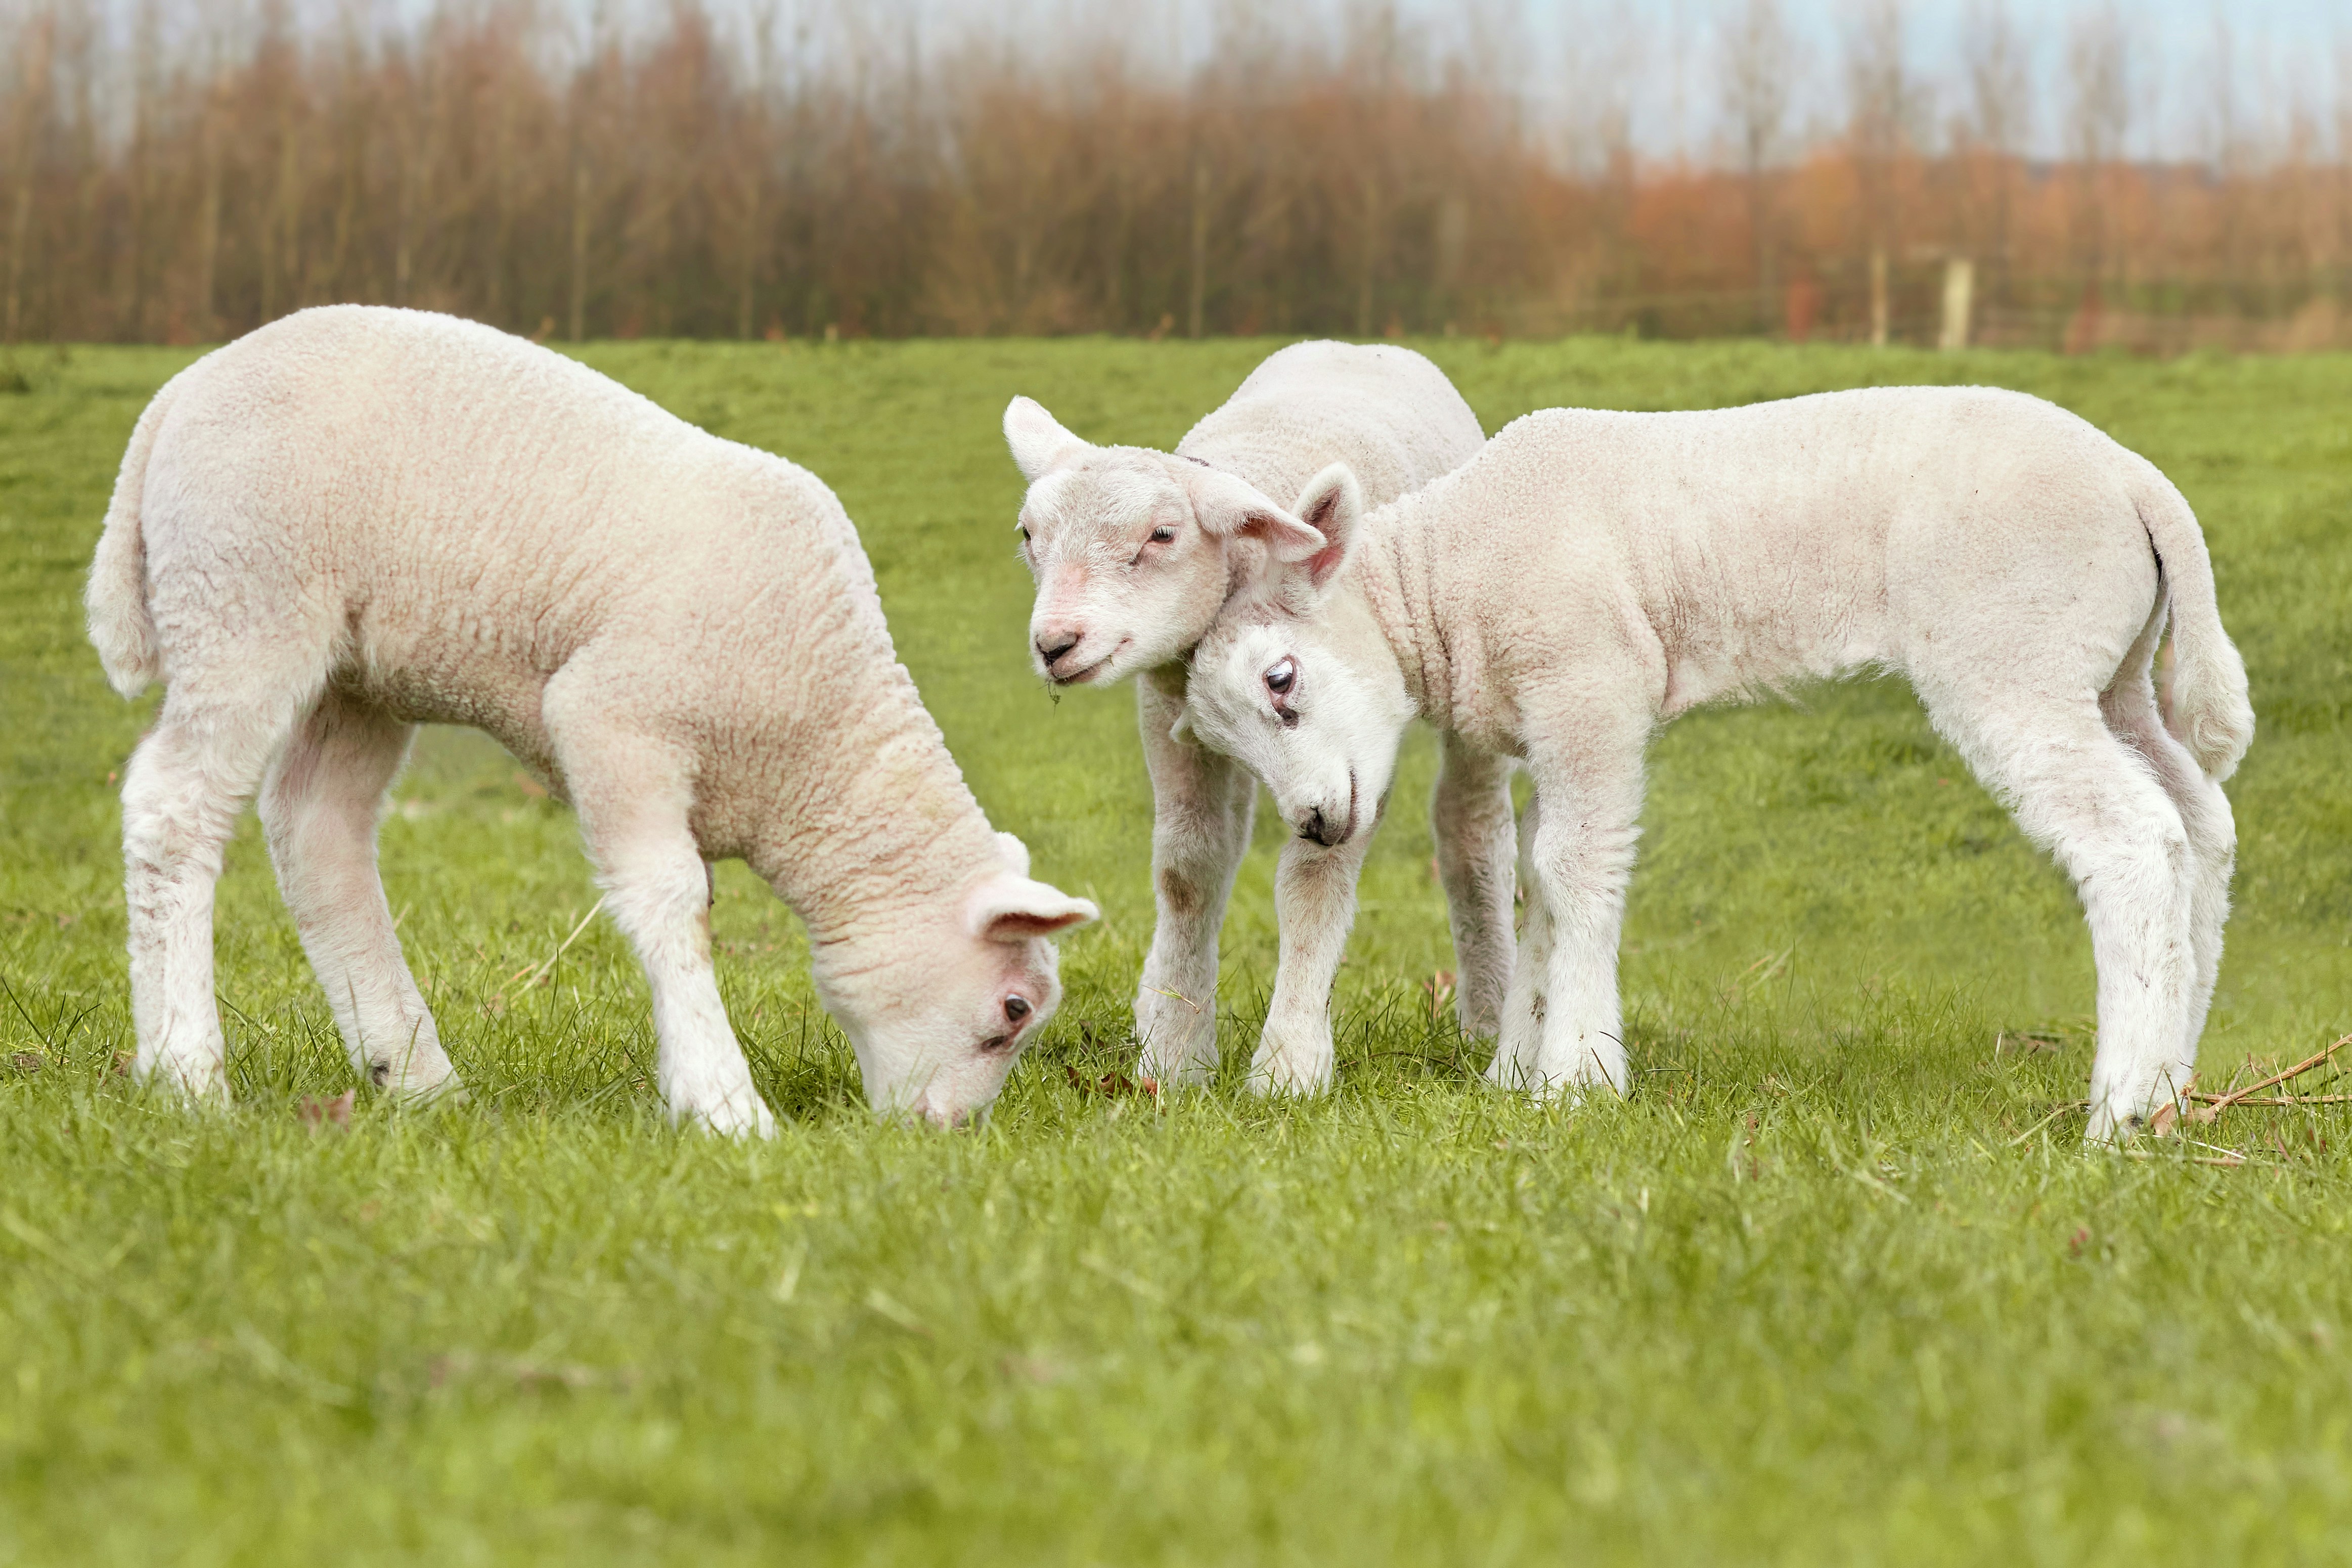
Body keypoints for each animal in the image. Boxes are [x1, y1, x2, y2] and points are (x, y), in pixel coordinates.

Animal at [86, 305, 1096, 1134]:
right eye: (1012, 1013)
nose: (947, 1137)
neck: (814, 748)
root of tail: (175, 397)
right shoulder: (613, 718)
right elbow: (671, 901)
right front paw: (722, 1106)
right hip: (243, 597)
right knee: (173, 806)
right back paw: (185, 1075)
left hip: (357, 673)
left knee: (317, 836)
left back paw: (412, 1077)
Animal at [1002, 341, 1490, 1089]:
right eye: (1029, 535)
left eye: (1162, 534)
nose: (1053, 644)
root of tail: (1354, 346)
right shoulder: (1168, 712)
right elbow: (1186, 871)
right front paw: (1175, 1053)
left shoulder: (1357, 740)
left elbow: (1313, 879)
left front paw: (1289, 1065)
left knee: (1470, 832)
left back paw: (1487, 1016)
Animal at [1175, 387, 2253, 1142]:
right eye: (1225, 738)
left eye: (1281, 679)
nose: (1317, 824)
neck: (1444, 582)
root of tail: (2135, 479)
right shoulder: (1552, 725)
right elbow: (1539, 886)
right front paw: (1518, 1070)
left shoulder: (1590, 690)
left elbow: (1575, 871)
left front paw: (1580, 1078)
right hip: (2108, 667)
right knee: (2196, 823)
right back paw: (2173, 1081)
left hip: (2014, 650)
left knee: (2129, 838)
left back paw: (2116, 1107)